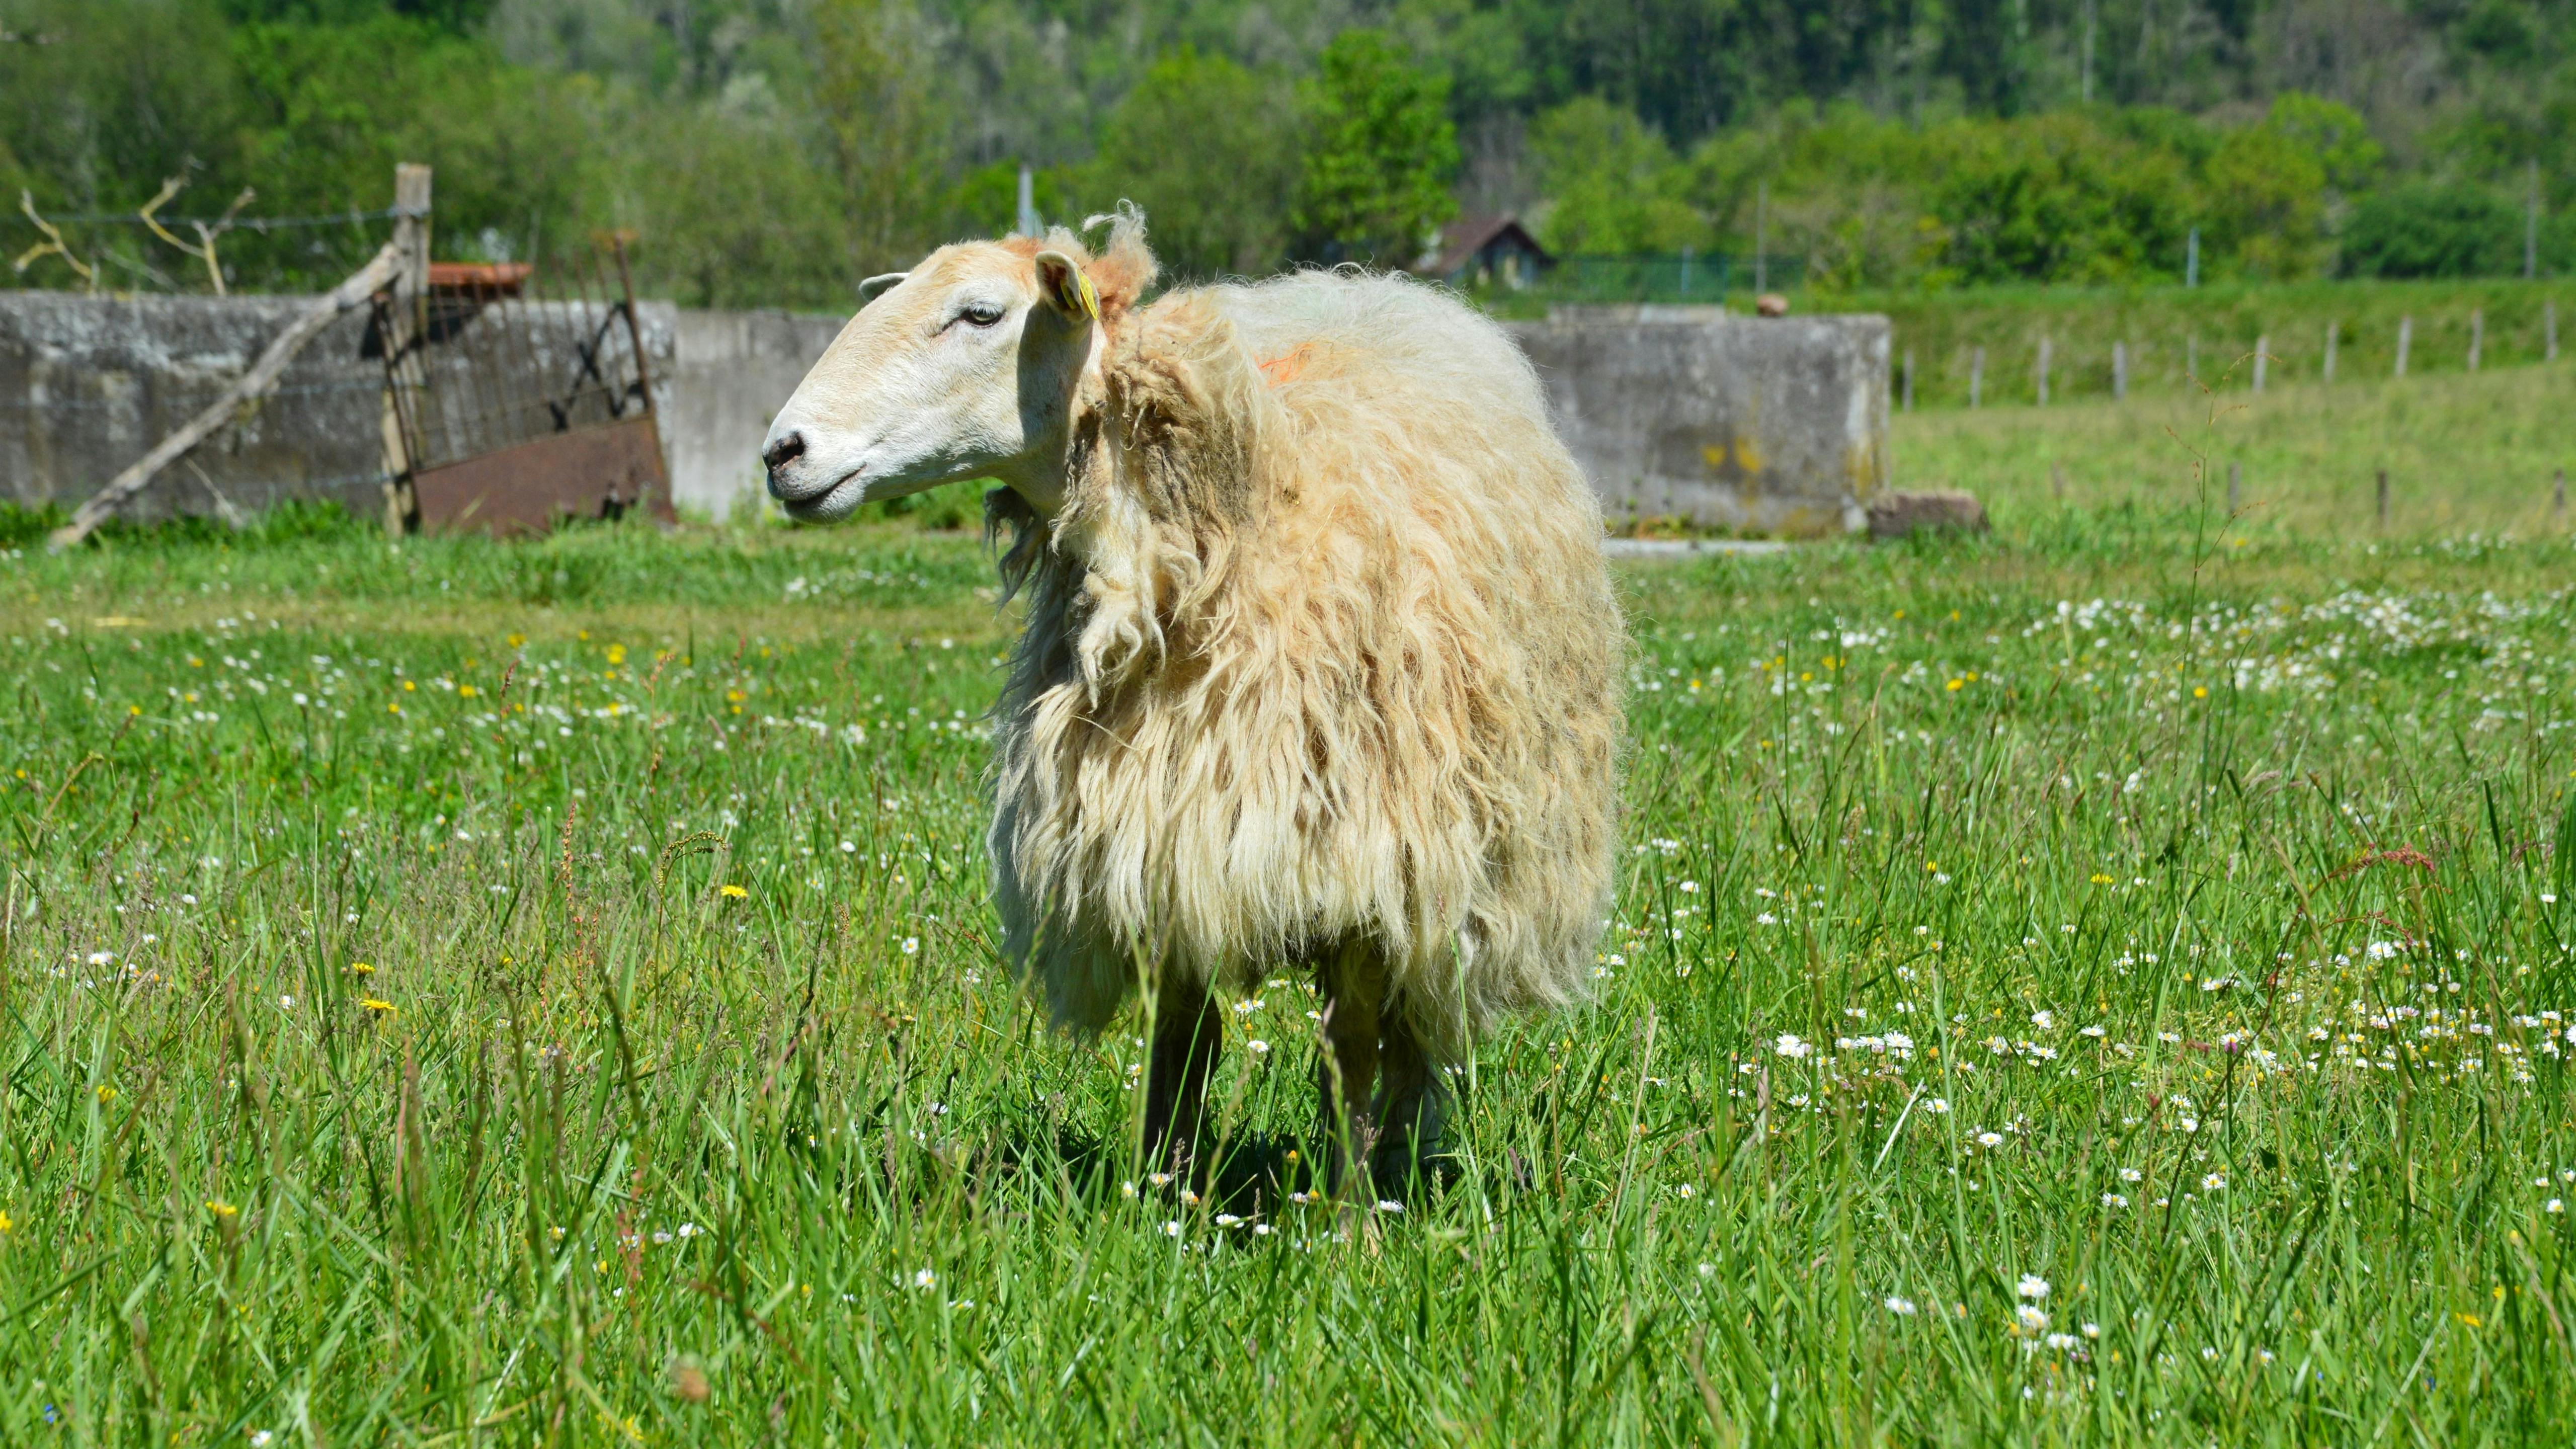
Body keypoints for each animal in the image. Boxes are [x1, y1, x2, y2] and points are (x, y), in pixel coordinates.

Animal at [762, 214, 1623, 1193]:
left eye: (981, 314)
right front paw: (1158, 1192)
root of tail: (1369, 289)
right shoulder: (1162, 827)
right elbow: (1185, 1038)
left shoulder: (1369, 862)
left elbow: (1349, 1050)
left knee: (1407, 1032)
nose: (783, 454)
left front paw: (1350, 1211)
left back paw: (1391, 1164)